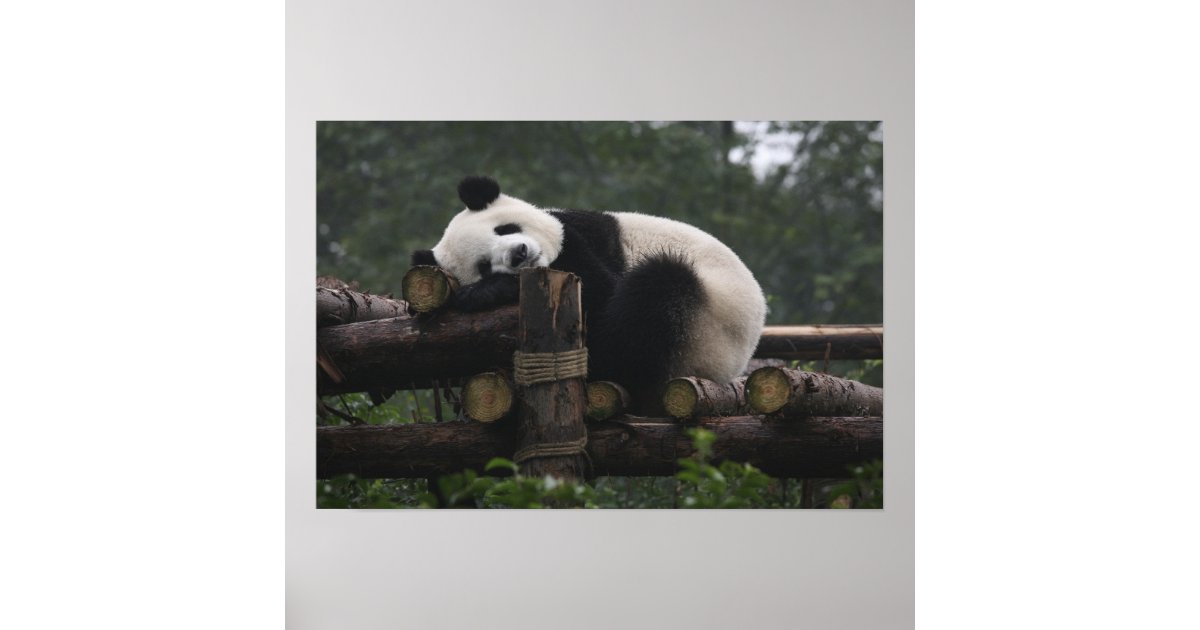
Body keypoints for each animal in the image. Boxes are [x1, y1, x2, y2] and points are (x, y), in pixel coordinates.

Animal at [412, 175, 767, 411]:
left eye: (505, 229)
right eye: (484, 265)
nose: (518, 254)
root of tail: (732, 366)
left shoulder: (585, 237)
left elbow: (601, 294)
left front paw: (482, 293)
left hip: (707, 323)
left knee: (655, 294)